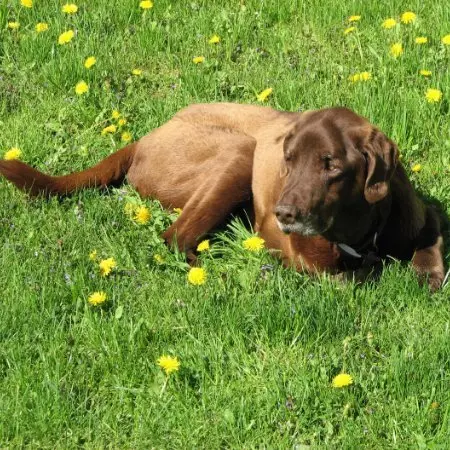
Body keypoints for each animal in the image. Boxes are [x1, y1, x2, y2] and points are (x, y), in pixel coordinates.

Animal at [0, 103, 442, 290]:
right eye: (288, 159)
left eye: (330, 164)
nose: (284, 213)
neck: (361, 231)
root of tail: (146, 138)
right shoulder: (304, 255)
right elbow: (353, 276)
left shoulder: (425, 214)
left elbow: (430, 240)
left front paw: (426, 274)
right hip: (240, 152)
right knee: (174, 238)